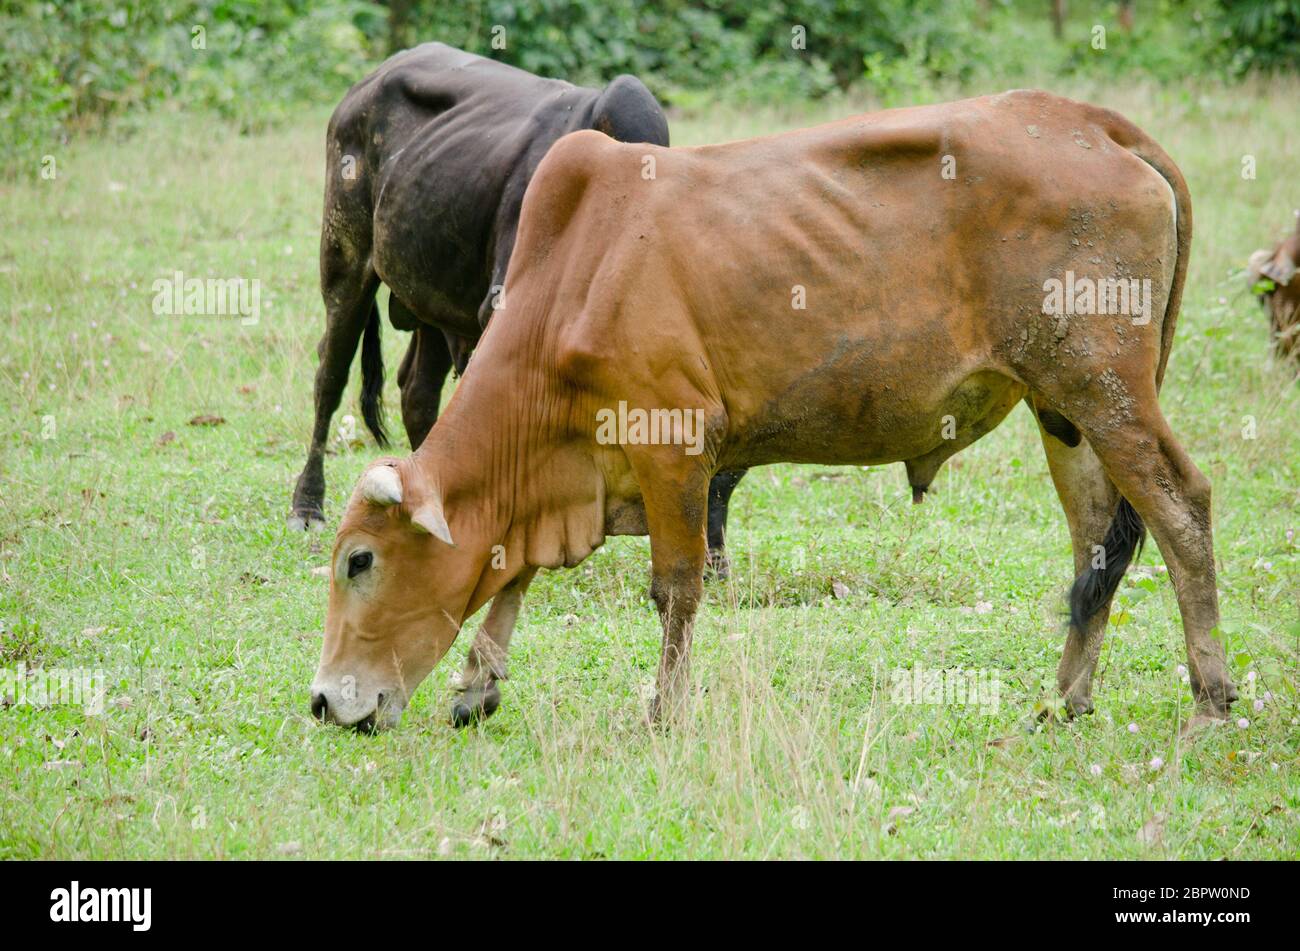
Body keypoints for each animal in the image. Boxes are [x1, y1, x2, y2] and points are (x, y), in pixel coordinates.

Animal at [286, 42, 752, 576]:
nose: (713, 563)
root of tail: (366, 83)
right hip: (345, 261)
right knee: (330, 376)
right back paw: (307, 506)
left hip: (434, 302)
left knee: (417, 392)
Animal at [308, 90, 1237, 735]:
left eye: (359, 560)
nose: (323, 701)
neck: (577, 276)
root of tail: (1097, 125)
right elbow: (516, 570)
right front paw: (477, 684)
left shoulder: (674, 448)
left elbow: (674, 589)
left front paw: (662, 712)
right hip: (1063, 408)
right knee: (1096, 541)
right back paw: (1069, 696)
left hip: (1104, 387)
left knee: (1181, 508)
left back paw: (1210, 702)